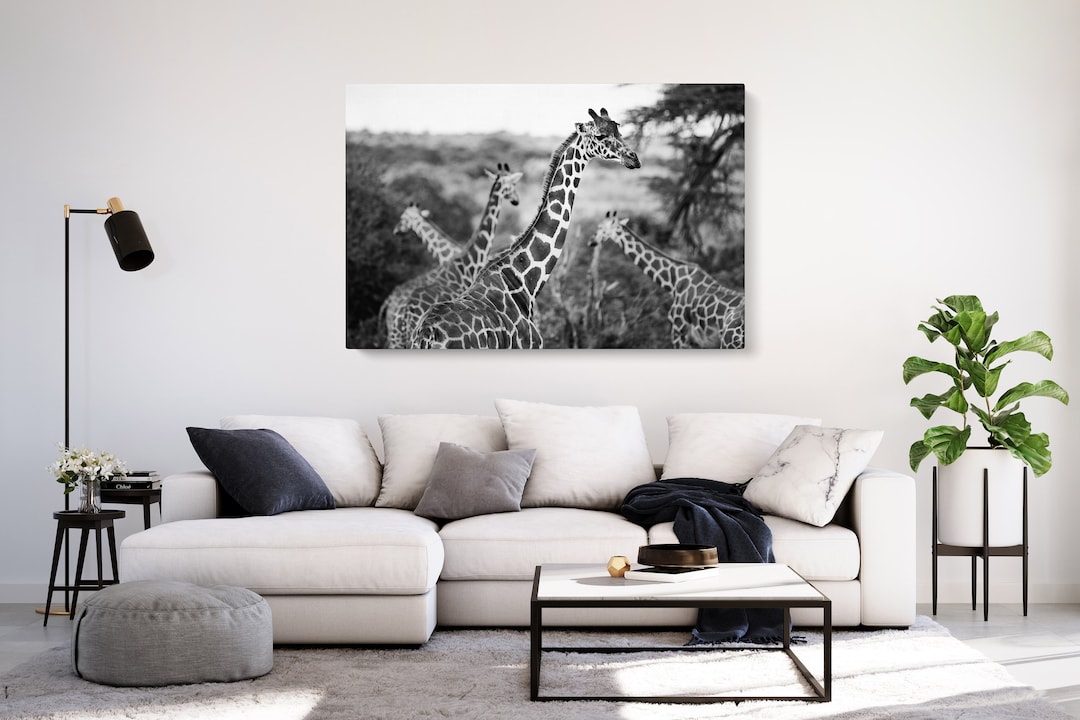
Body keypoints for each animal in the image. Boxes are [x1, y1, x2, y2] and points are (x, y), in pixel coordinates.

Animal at [412, 108, 641, 349]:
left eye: (619, 131)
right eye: (599, 136)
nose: (633, 158)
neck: (525, 282)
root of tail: (426, 336)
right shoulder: (531, 345)